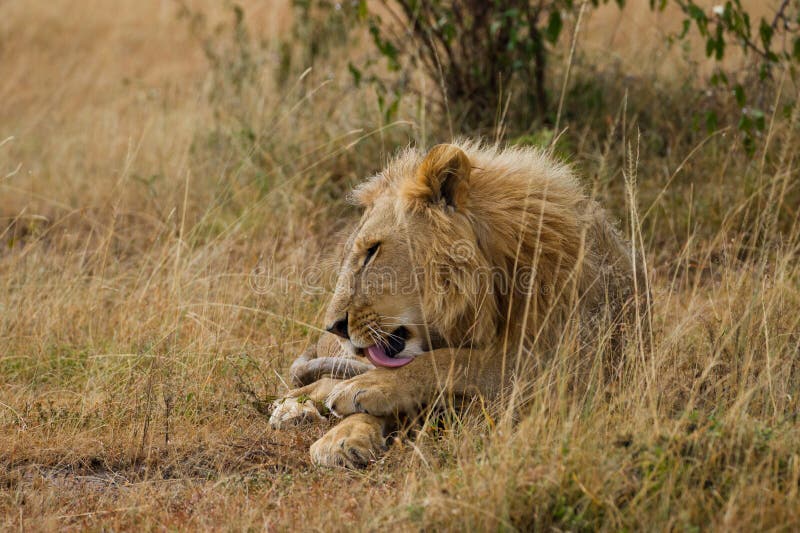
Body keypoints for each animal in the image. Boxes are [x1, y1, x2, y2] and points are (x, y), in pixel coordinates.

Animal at [269, 140, 646, 468]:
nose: (335, 326)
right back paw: (293, 409)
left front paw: (369, 389)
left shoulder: (577, 369)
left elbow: (459, 361)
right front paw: (342, 436)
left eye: (372, 250)